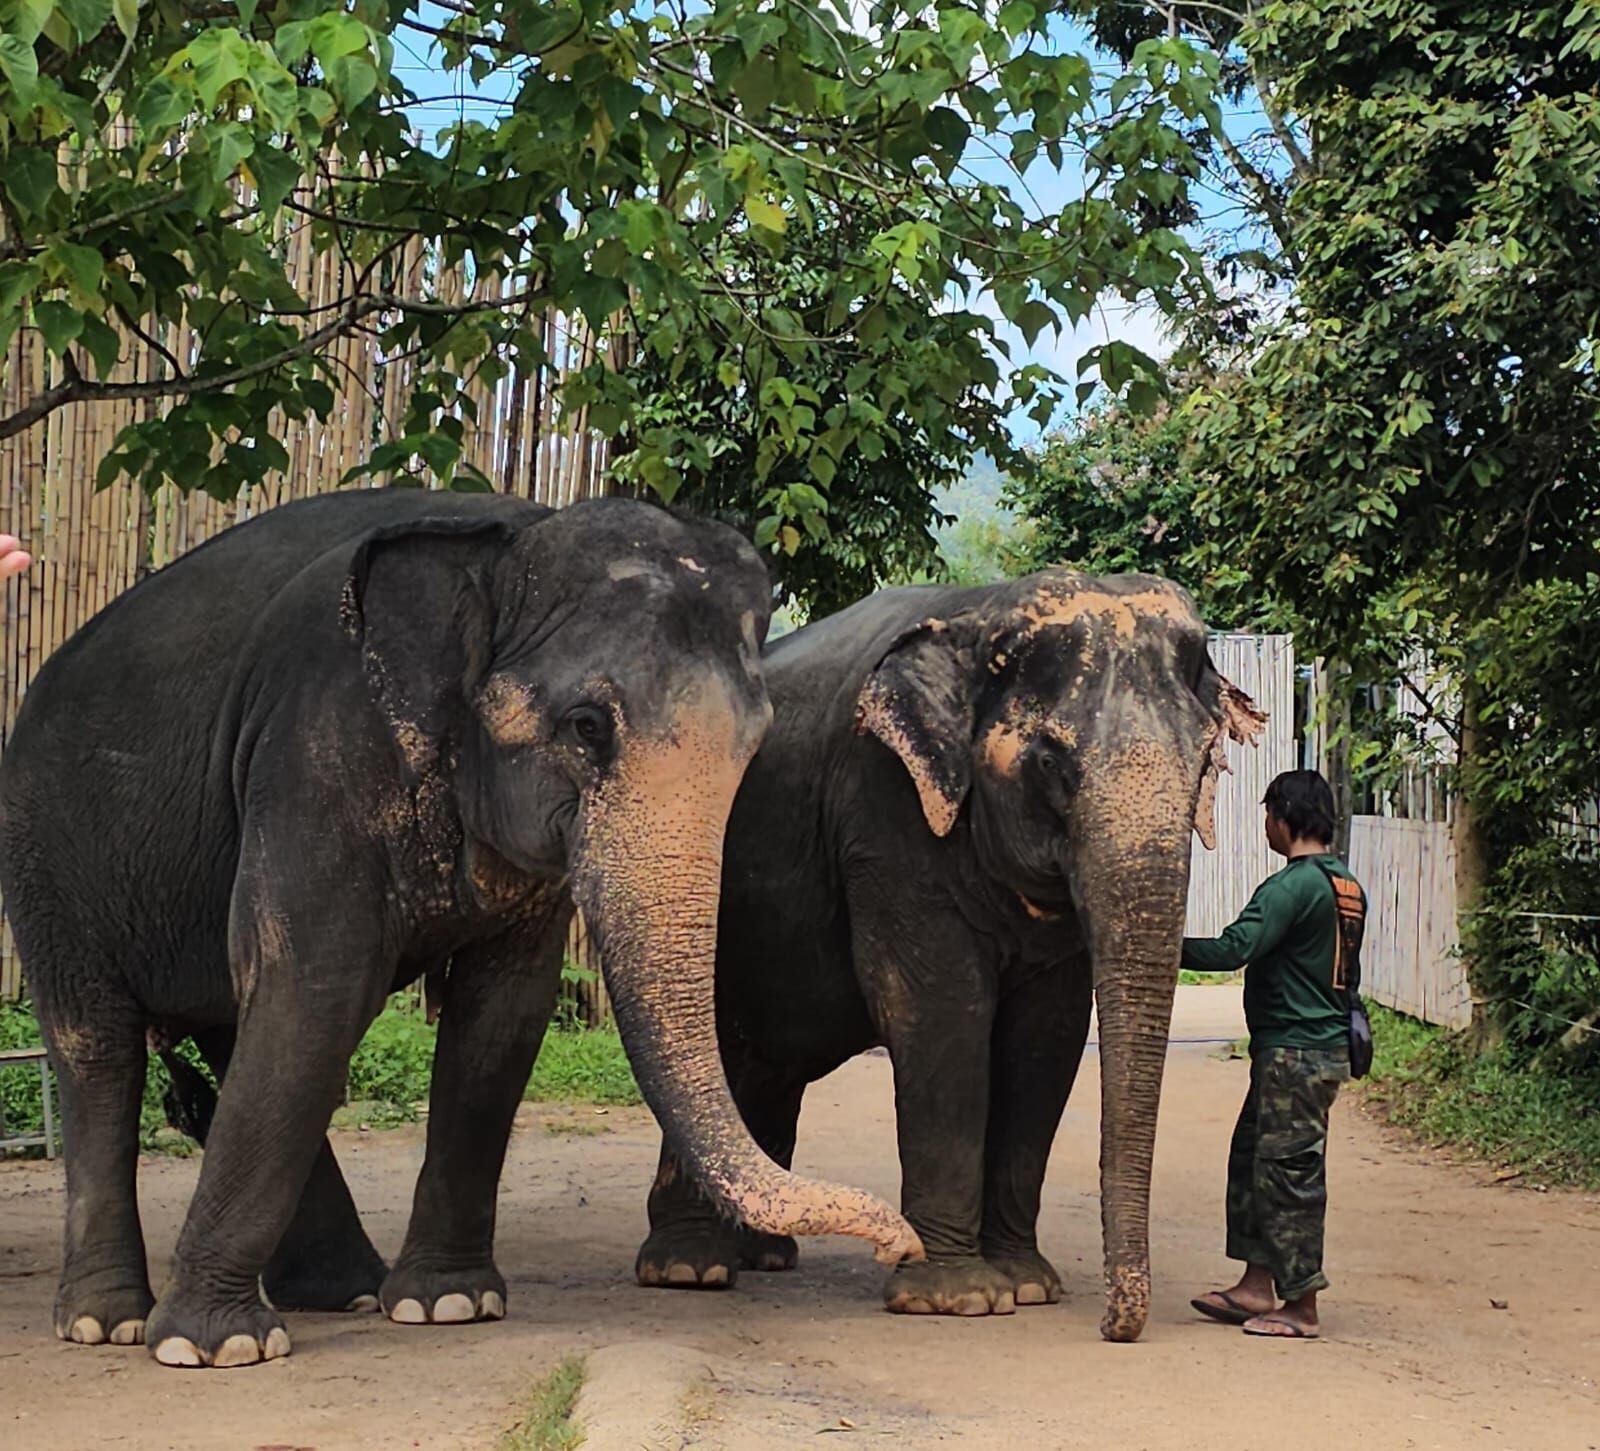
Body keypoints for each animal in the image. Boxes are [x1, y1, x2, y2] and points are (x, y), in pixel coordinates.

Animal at [0, 489, 921, 1370]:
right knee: (99, 1048)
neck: (507, 540)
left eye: (754, 742)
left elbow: (500, 1016)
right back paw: (108, 1321)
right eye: (588, 725)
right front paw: (211, 1347)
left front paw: (446, 1303)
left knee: (230, 1035)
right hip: (46, 862)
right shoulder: (315, 748)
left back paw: (348, 1291)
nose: (900, 1245)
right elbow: (313, 986)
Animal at [633, 568, 1263, 1341]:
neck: (985, 612)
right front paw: (958, 1298)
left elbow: (1045, 1035)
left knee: (766, 1062)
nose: (1118, 1326)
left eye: (1205, 760)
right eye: (1051, 762)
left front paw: (1028, 1286)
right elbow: (939, 1011)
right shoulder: (885, 811)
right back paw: (689, 1269)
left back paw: (766, 1255)